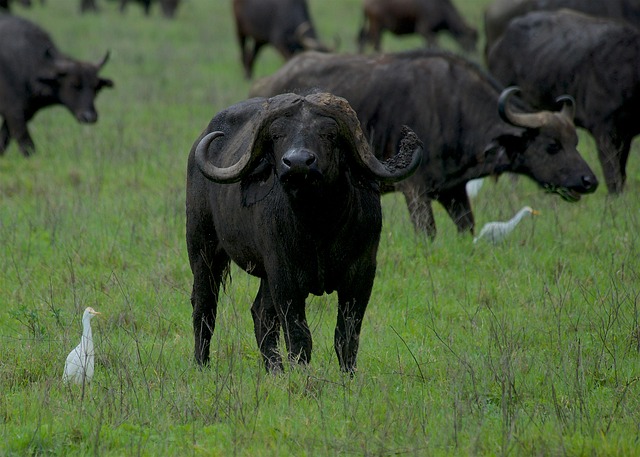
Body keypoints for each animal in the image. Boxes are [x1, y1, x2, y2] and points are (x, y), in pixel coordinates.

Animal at [0, 13, 113, 156]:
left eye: (96, 88)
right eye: (73, 84)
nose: (89, 117)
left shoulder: (26, 112)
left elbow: (3, 141)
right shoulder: (13, 112)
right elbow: (26, 143)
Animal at [186, 92, 422, 372]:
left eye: (329, 134)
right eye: (277, 135)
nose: (298, 163)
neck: (318, 226)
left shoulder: (362, 274)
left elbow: (346, 335)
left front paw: (348, 374)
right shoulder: (284, 276)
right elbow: (299, 336)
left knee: (261, 313)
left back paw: (274, 369)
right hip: (202, 249)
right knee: (205, 305)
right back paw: (202, 364)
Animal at [251, 50, 598, 238]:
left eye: (575, 141)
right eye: (552, 146)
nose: (589, 181)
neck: (456, 110)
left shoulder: (454, 191)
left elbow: (467, 228)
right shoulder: (414, 191)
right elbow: (427, 233)